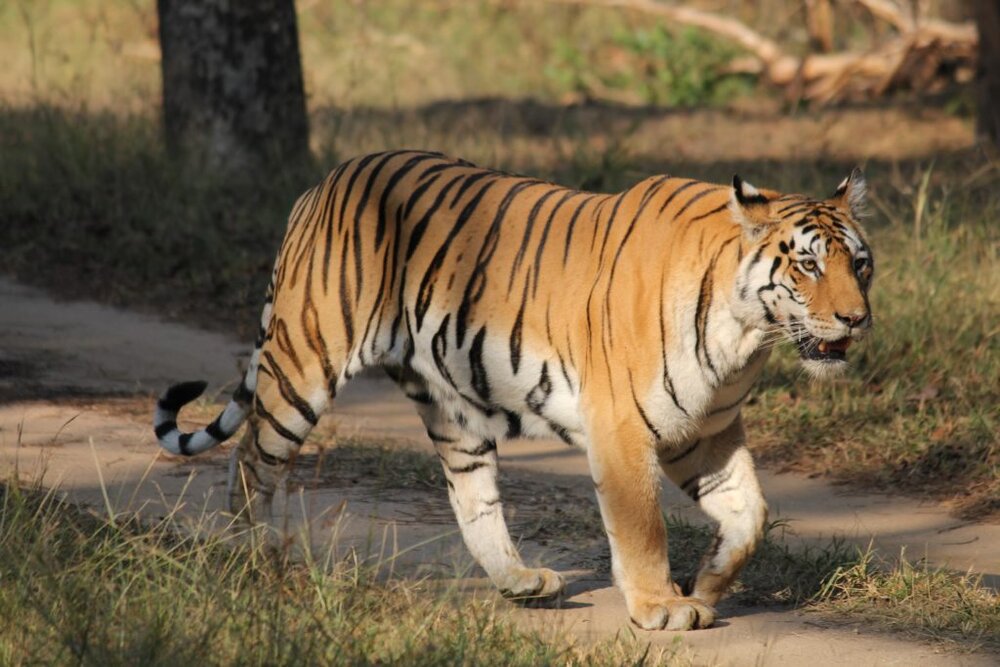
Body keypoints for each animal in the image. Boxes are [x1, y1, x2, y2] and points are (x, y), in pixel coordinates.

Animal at [153, 150, 874, 631]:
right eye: (808, 265)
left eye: (860, 265)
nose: (857, 319)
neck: (744, 336)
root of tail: (320, 183)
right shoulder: (623, 425)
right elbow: (642, 526)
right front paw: (660, 606)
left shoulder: (706, 432)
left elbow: (751, 514)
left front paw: (705, 586)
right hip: (304, 362)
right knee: (251, 461)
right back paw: (252, 560)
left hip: (451, 403)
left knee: (471, 495)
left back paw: (519, 581)